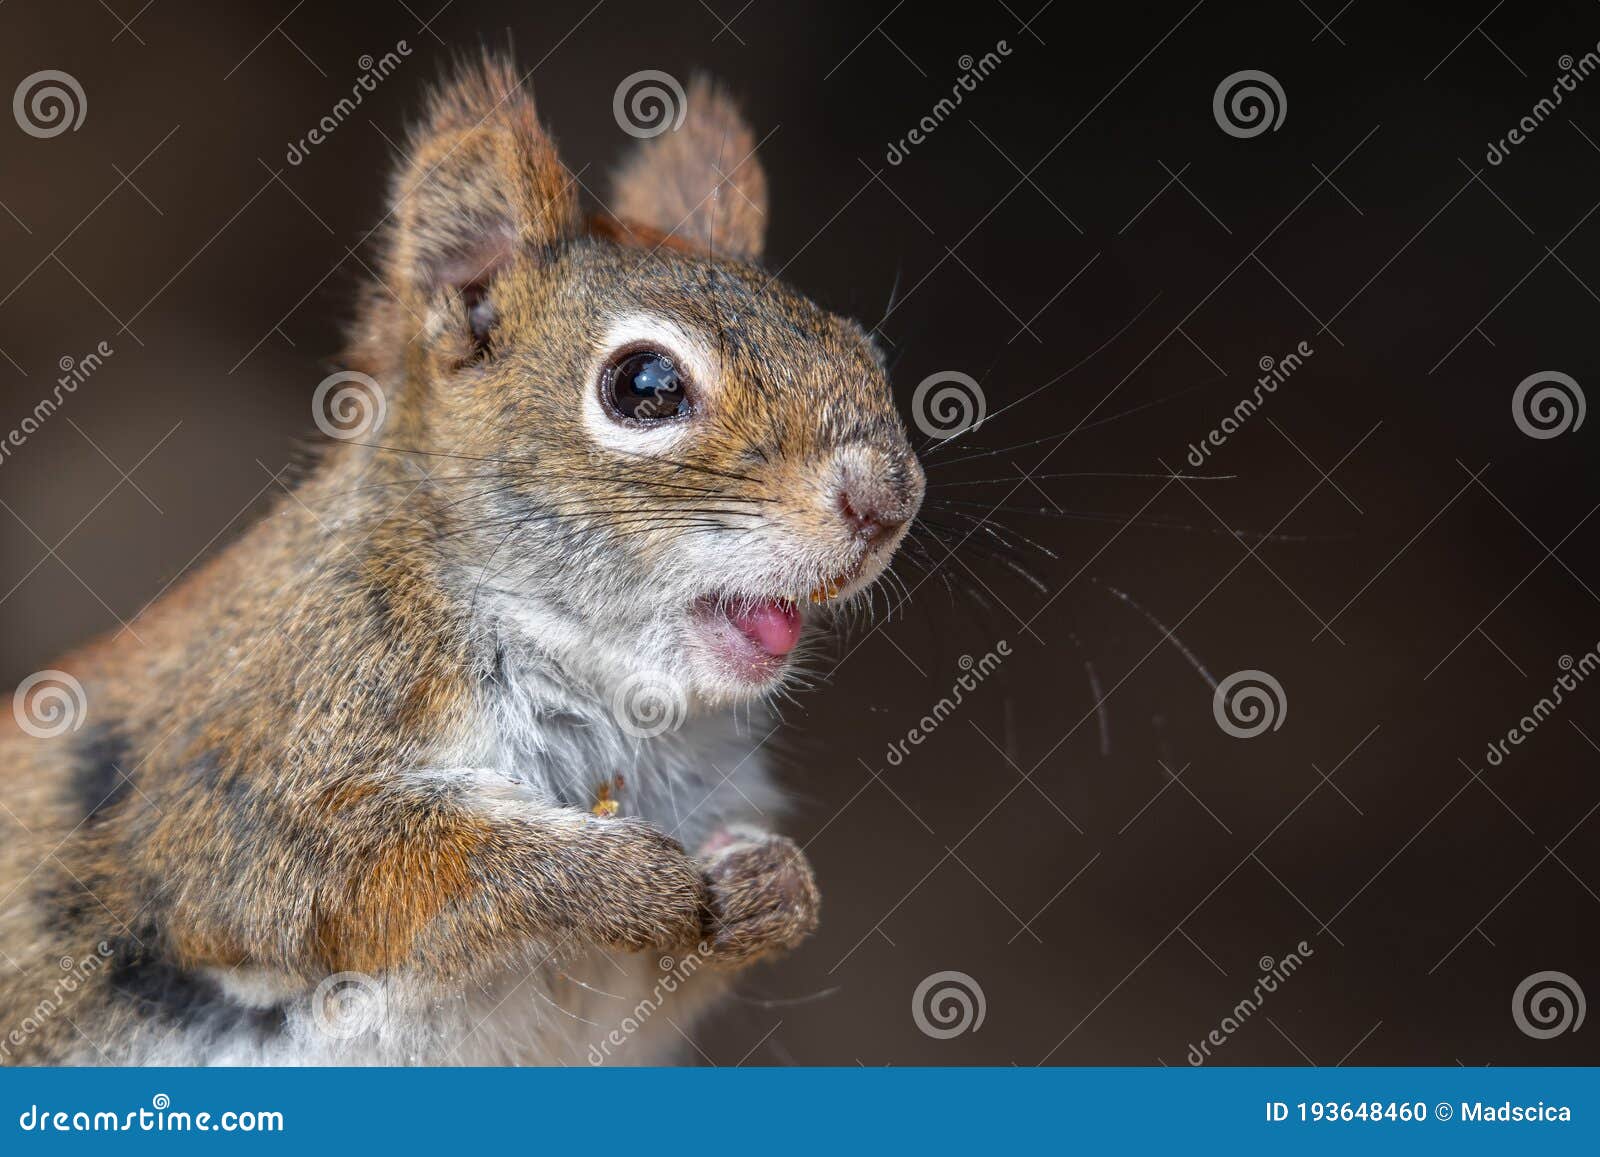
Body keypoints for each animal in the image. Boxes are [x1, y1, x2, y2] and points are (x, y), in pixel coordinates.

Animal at [0, 56, 924, 1065]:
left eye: (862, 347)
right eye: (645, 386)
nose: (887, 501)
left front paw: (774, 886)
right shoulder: (242, 769)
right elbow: (342, 871)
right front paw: (606, 875)